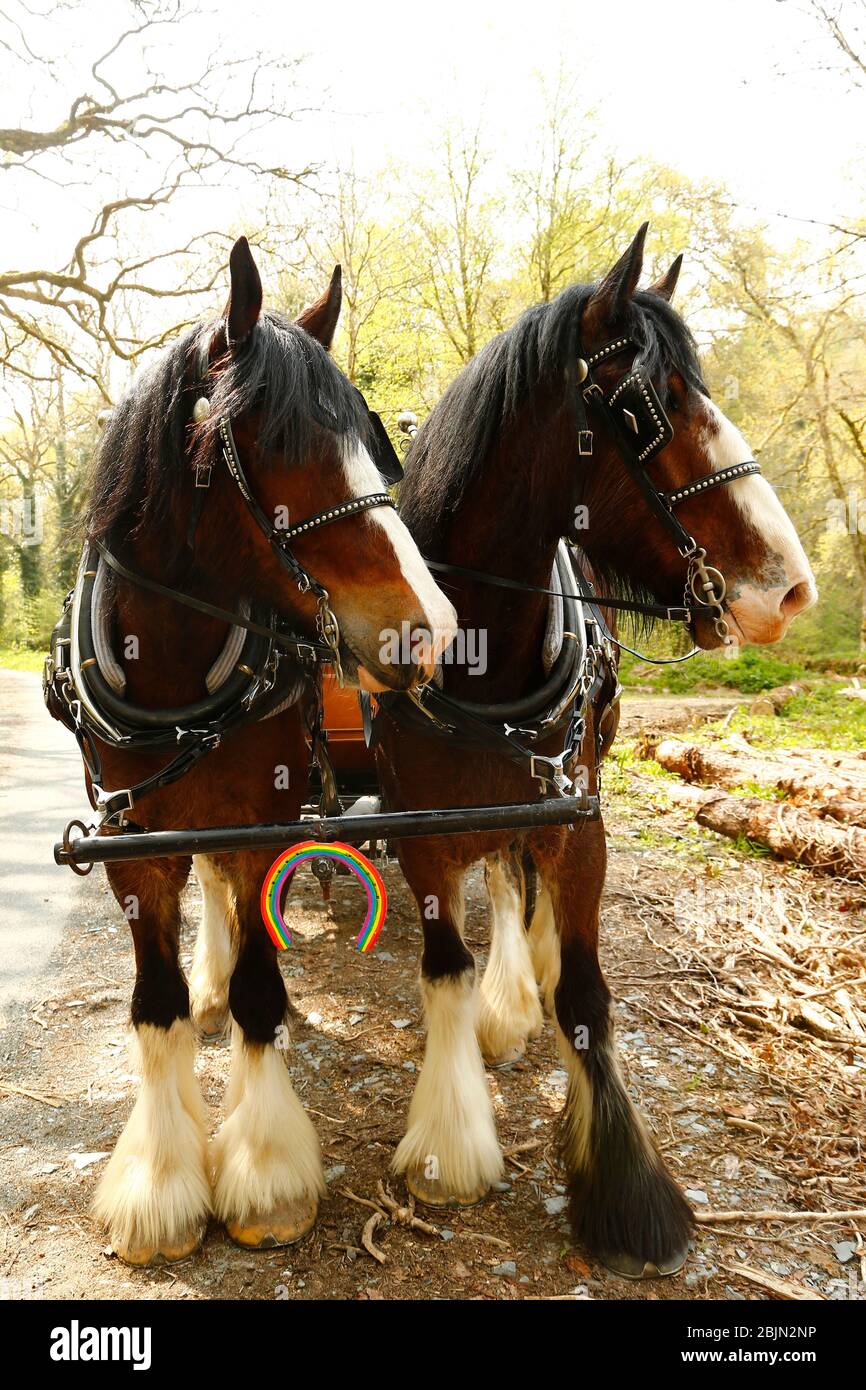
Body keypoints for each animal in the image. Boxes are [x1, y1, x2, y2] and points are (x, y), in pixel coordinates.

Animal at [63, 237, 457, 1265]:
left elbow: (261, 992)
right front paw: (162, 1184)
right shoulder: (131, 846)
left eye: (374, 441)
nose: (433, 628)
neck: (173, 665)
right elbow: (155, 1004)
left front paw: (266, 1171)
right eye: (285, 443)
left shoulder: (262, 817)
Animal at [373, 224, 817, 1279]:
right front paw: (451, 1142)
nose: (790, 587)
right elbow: (443, 965)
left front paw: (624, 1191)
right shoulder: (420, 832)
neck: (481, 660)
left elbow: (584, 989)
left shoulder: (577, 819)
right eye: (649, 409)